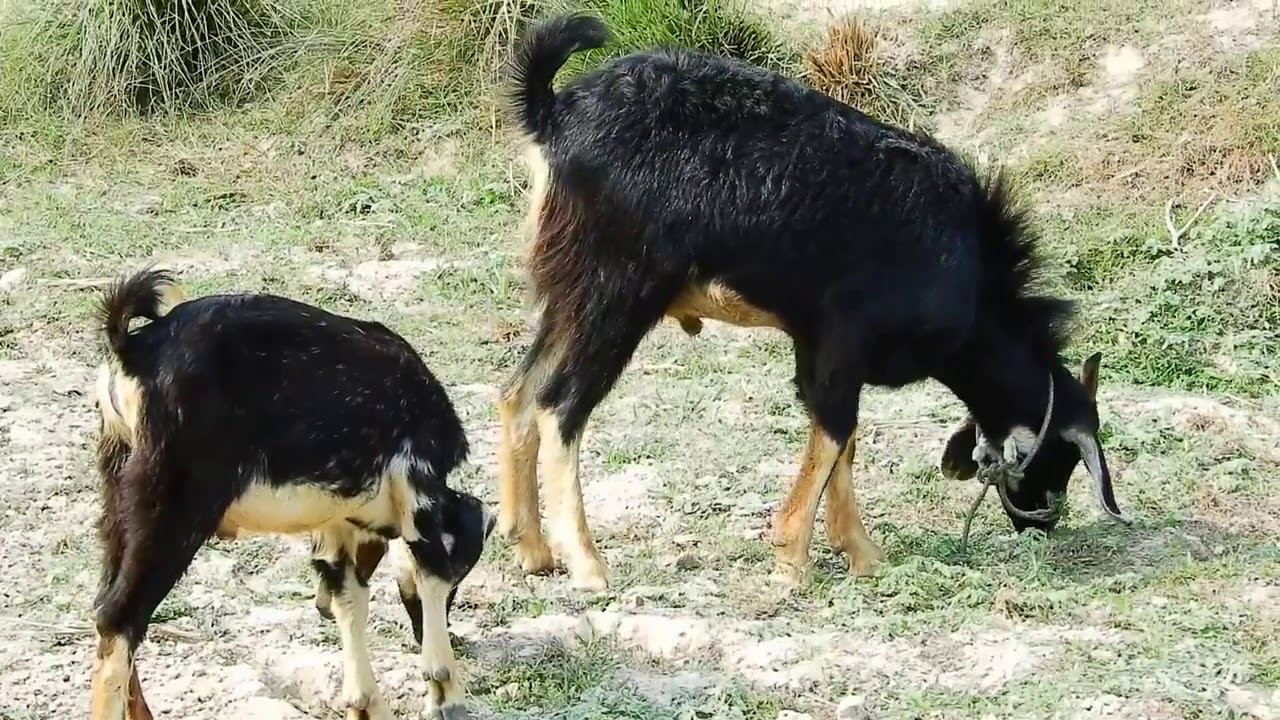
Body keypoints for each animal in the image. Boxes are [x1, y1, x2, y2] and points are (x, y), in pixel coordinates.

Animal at [88, 268, 490, 720]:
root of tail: (132, 350)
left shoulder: (335, 531)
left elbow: (350, 600)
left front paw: (365, 702)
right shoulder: (418, 490)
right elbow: (429, 570)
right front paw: (444, 690)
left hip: (119, 491)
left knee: (108, 611)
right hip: (174, 505)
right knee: (119, 616)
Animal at [495, 14, 1128, 592]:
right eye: (1063, 460)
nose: (1039, 529)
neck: (970, 275)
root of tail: (553, 112)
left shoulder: (822, 344)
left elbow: (840, 436)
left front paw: (859, 553)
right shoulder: (845, 336)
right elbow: (834, 431)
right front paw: (793, 561)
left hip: (568, 291)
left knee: (518, 392)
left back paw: (532, 549)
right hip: (616, 291)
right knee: (560, 406)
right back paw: (586, 564)